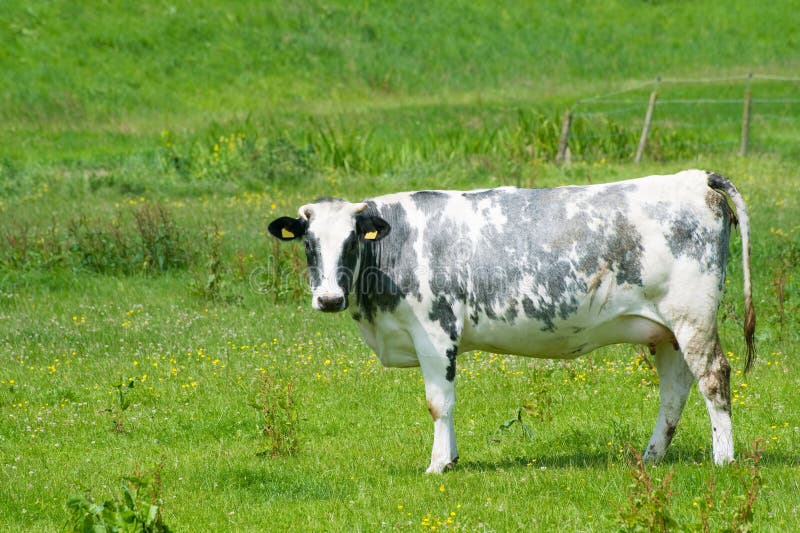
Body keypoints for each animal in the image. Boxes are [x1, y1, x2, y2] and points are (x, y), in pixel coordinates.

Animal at [268, 169, 755, 473]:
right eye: (309, 244)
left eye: (352, 241)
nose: (329, 298)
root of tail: (694, 177)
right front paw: (452, 458)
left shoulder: (434, 333)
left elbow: (439, 402)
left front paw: (438, 464)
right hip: (666, 331)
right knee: (674, 390)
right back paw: (652, 456)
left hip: (693, 317)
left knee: (714, 377)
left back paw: (724, 459)